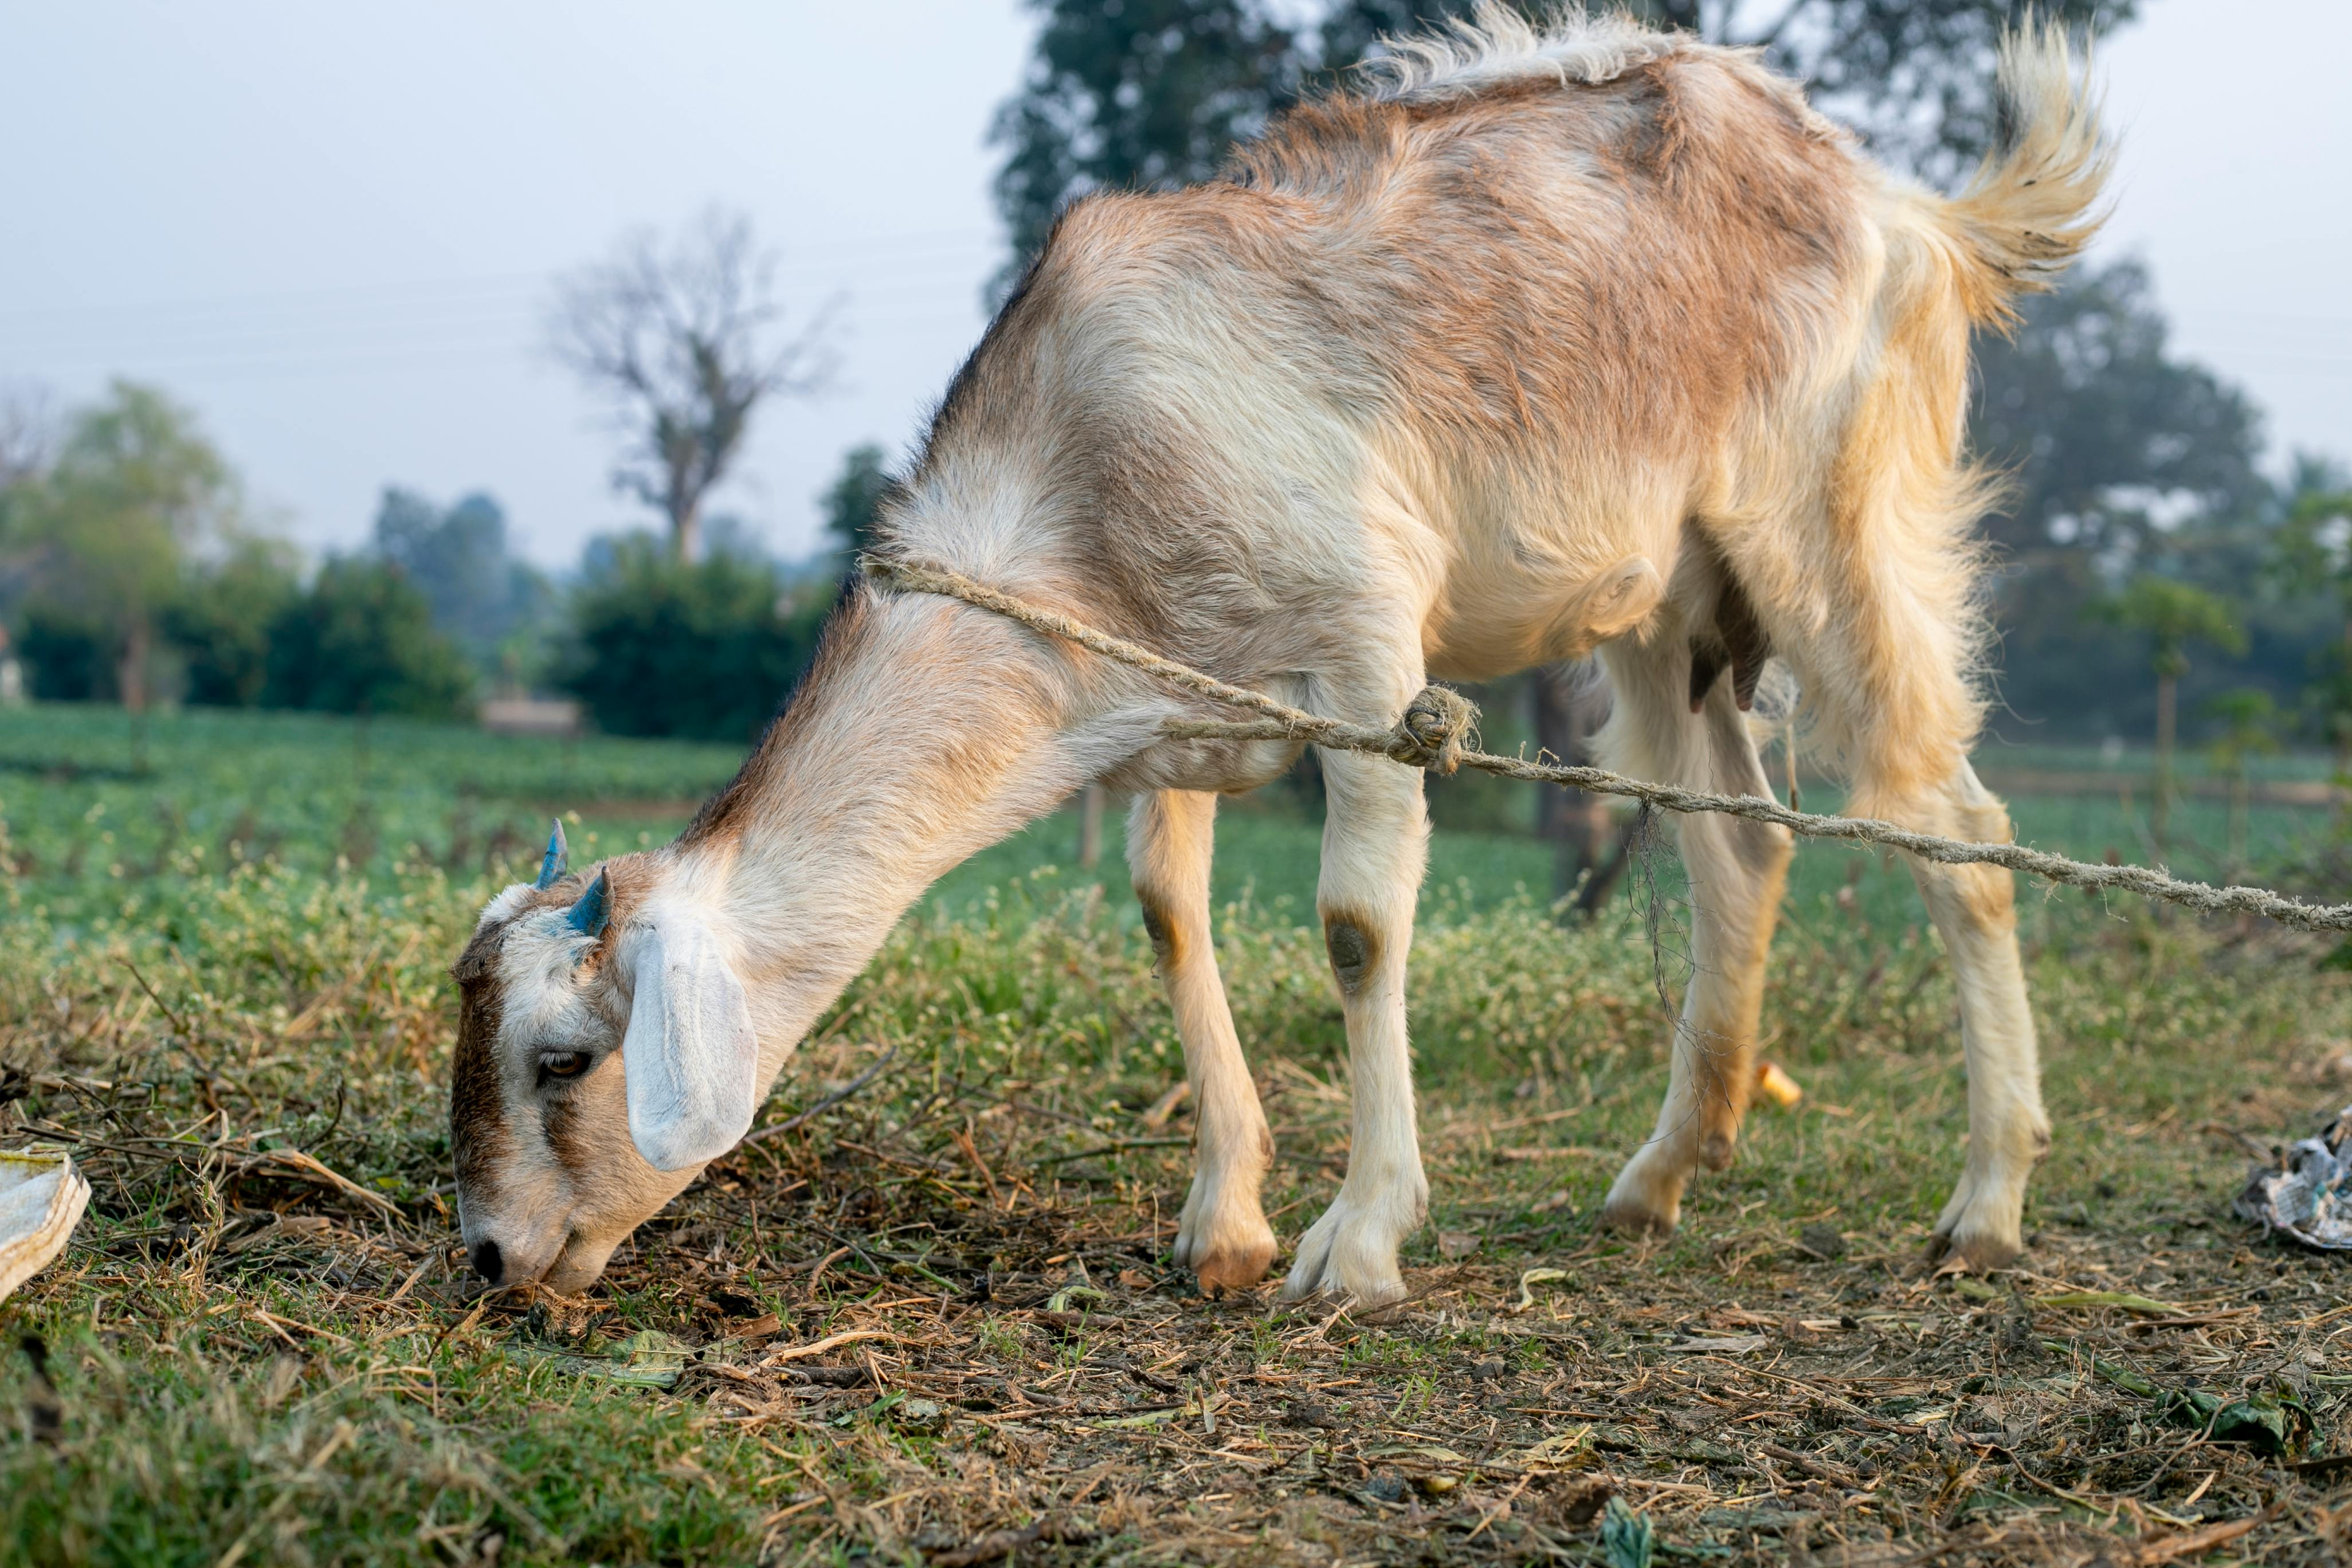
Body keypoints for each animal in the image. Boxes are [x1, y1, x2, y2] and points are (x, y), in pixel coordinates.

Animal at [448, 8, 2108, 1304]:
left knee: (1956, 827)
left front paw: (1356, 1243)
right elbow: (1168, 912)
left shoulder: (1364, 655)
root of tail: (1905, 211)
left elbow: (1357, 928)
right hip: (1663, 607)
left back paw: (1985, 1204)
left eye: (562, 1059)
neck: (1078, 469)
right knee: (1740, 842)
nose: (489, 1253)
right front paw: (1225, 1226)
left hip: (1841, 527)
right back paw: (1655, 1178)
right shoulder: (1172, 706)